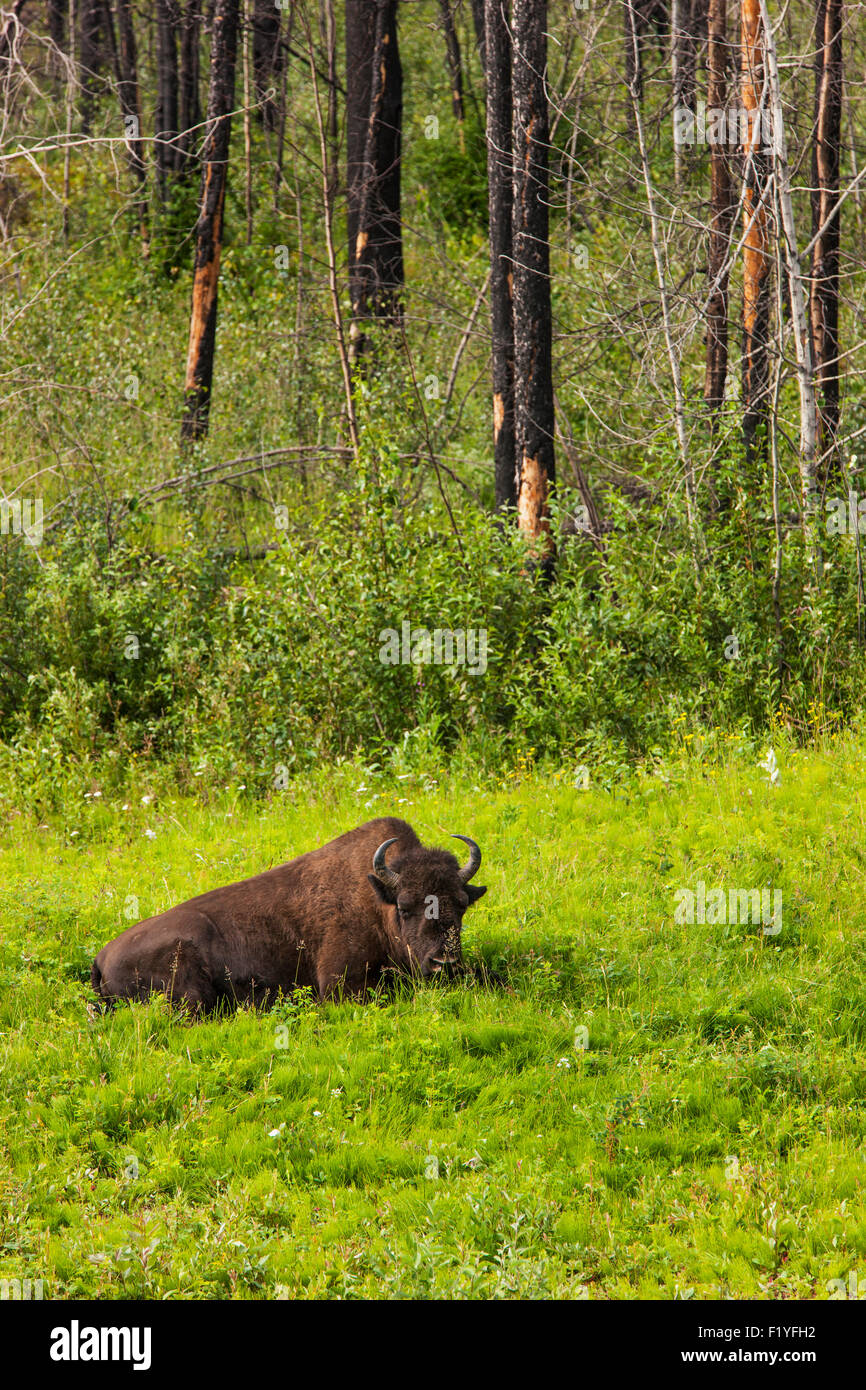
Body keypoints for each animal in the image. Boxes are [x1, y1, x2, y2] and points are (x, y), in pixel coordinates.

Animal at [90, 817, 486, 1012]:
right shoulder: (340, 984)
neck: (376, 899)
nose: (444, 963)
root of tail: (101, 956)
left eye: (462, 905)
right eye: (404, 906)